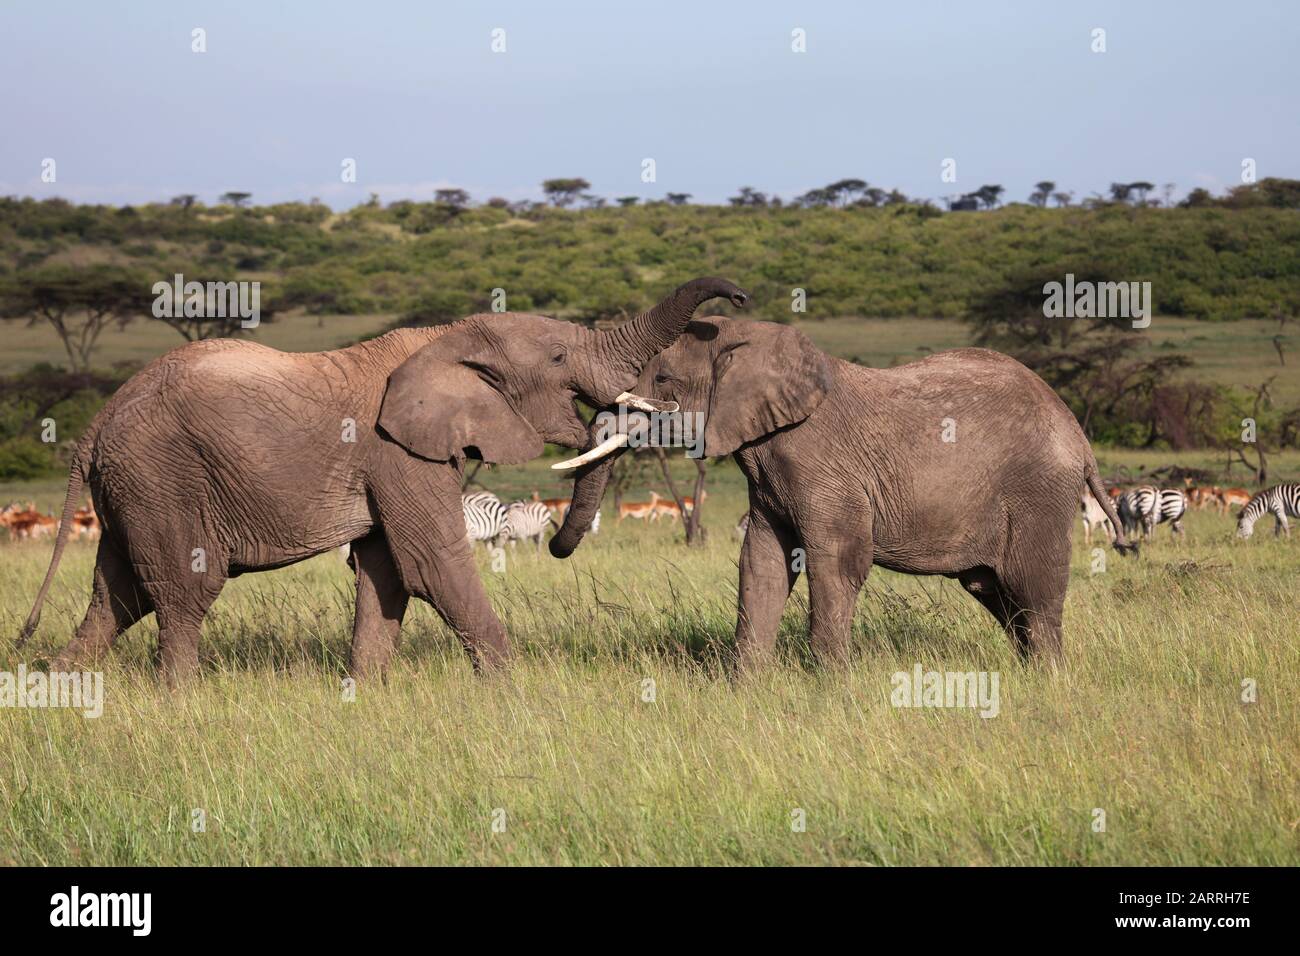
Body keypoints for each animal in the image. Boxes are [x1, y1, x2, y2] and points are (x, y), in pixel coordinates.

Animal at [17, 278, 748, 684]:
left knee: (117, 597)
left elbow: (385, 574)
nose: (738, 298)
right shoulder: (397, 450)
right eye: (560, 358)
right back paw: (180, 699)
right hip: (161, 475)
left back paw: (56, 686)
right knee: (181, 591)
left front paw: (363, 692)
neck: (450, 336)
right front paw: (515, 692)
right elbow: (432, 564)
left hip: (133, 486)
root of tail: (98, 421)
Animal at [549, 316, 1136, 667]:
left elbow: (836, 560)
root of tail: (1078, 435)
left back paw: (1050, 682)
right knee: (994, 591)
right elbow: (761, 563)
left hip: (1039, 490)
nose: (557, 546)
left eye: (665, 380)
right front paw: (744, 688)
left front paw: (830, 688)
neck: (753, 339)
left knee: (1032, 590)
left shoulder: (825, 469)